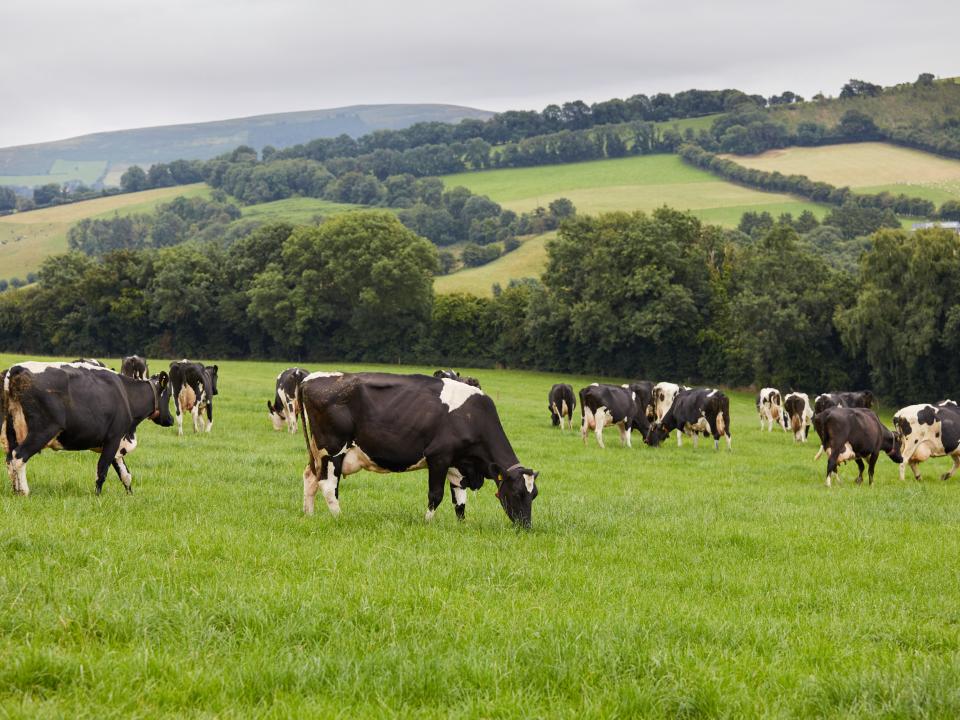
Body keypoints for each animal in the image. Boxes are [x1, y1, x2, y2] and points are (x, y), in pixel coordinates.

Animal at [2, 360, 172, 495]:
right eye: (169, 395)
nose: (170, 420)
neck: (126, 395)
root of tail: (17, 368)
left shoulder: (117, 444)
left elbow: (125, 474)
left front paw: (130, 495)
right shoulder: (113, 438)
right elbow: (102, 470)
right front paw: (97, 496)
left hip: (11, 431)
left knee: (10, 459)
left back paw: (15, 491)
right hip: (42, 431)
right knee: (19, 456)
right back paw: (24, 492)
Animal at [297, 372, 538, 526]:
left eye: (534, 494)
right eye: (517, 493)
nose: (526, 526)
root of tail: (309, 378)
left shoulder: (458, 464)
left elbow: (460, 500)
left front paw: (461, 526)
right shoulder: (439, 457)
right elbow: (436, 495)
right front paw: (427, 523)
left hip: (318, 452)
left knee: (310, 477)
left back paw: (309, 515)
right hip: (333, 449)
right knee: (328, 485)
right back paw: (340, 518)